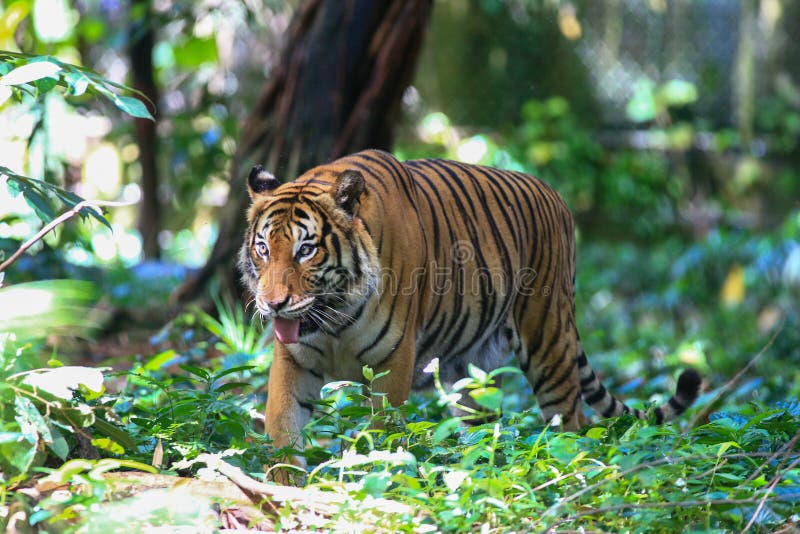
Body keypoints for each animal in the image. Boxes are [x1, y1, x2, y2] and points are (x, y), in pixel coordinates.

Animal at [238, 149, 701, 481]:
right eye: (263, 248)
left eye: (306, 250)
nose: (273, 304)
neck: (333, 316)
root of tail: (557, 197)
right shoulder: (295, 359)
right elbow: (282, 426)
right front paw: (282, 488)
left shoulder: (392, 363)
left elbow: (382, 432)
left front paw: (376, 478)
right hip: (469, 374)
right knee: (483, 427)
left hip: (549, 341)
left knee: (572, 421)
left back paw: (564, 472)